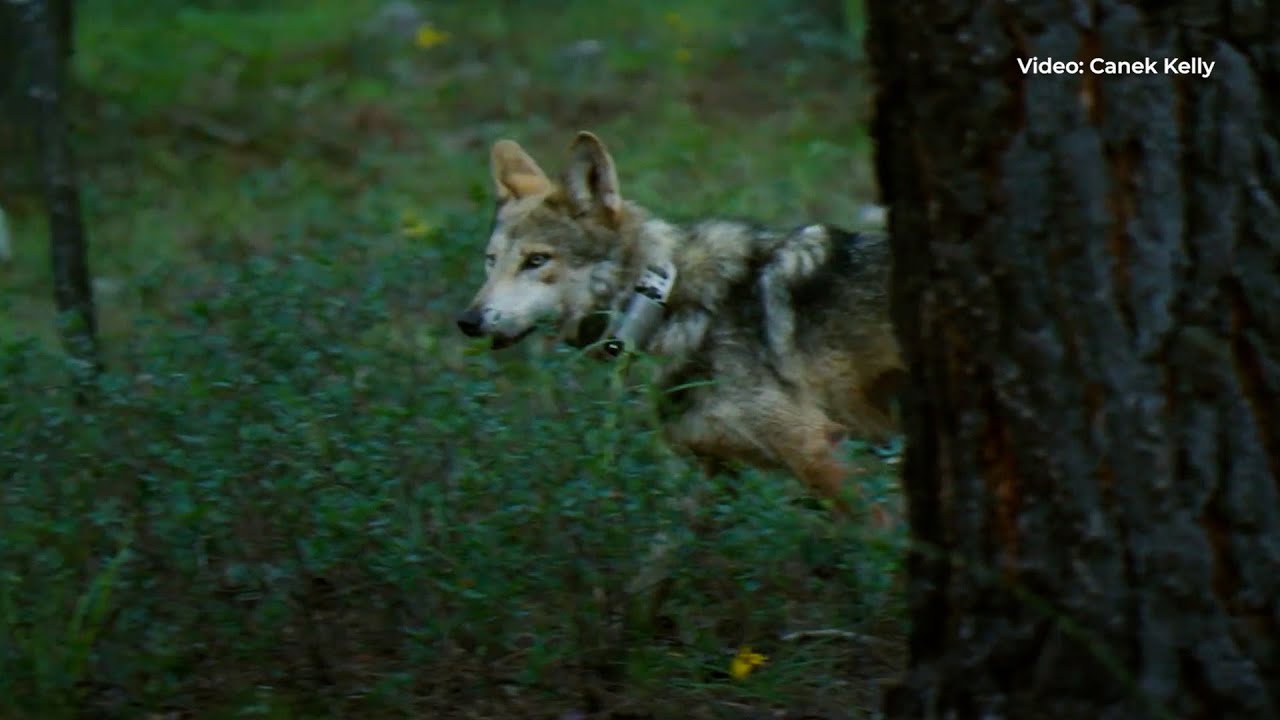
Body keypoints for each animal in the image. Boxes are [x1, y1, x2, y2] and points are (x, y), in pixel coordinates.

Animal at [455, 131, 904, 514]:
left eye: (536, 260)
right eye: (491, 261)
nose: (468, 321)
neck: (662, 302)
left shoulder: (821, 453)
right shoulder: (714, 472)